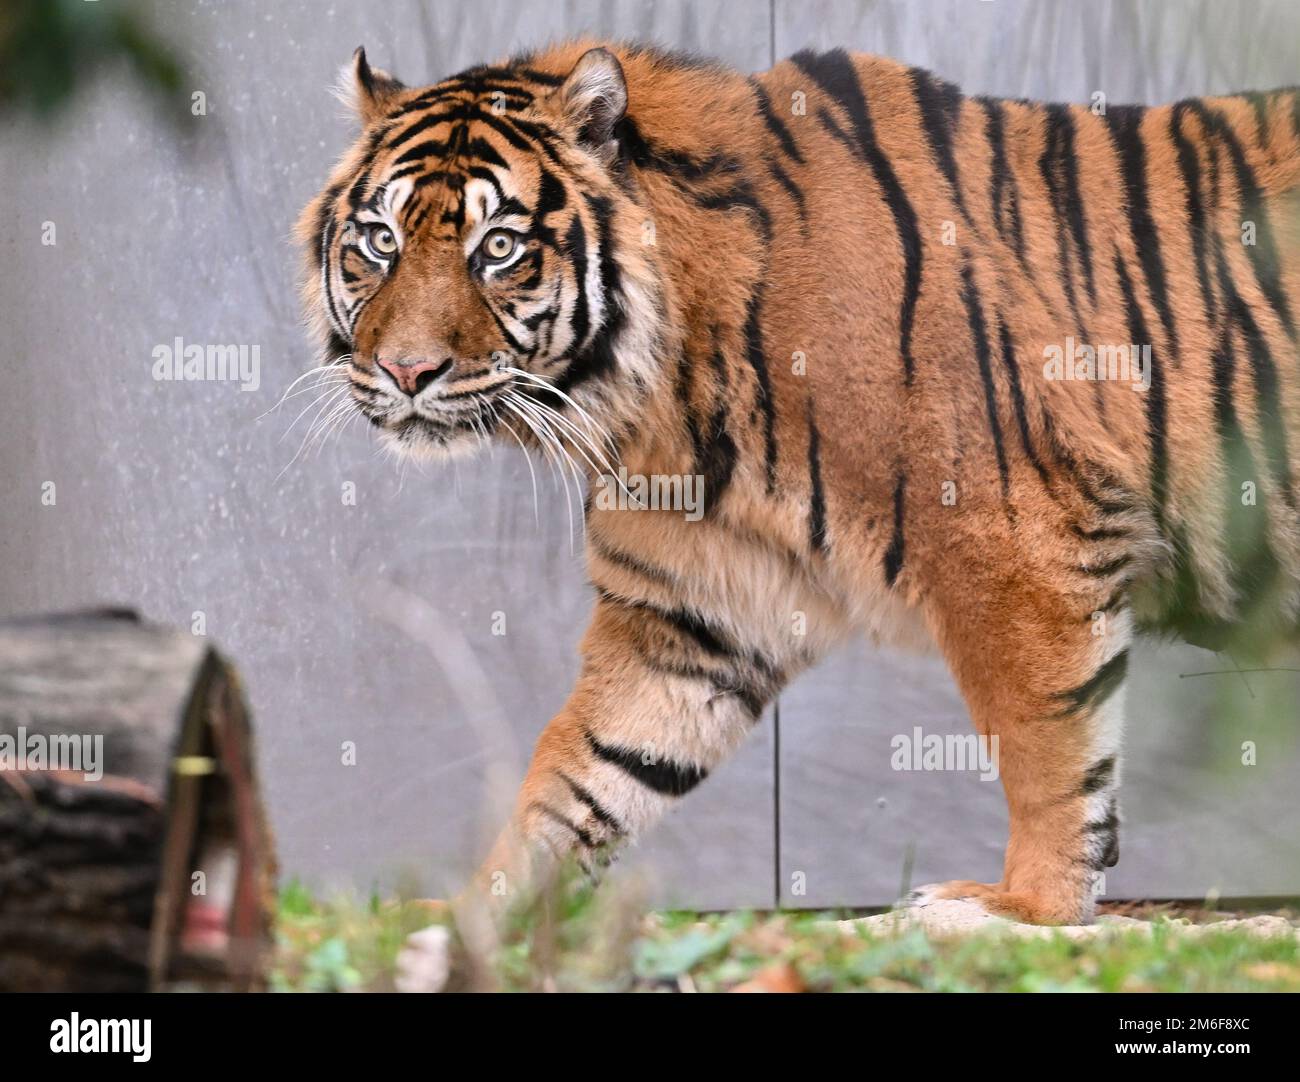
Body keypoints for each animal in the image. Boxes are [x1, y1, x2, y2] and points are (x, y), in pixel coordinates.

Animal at [298, 39, 1300, 927]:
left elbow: (1046, 745)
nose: (406, 371)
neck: (663, 394)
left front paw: (1027, 908)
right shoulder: (687, 615)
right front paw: (477, 914)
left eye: (500, 247)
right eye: (378, 242)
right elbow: (579, 771)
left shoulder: (1018, 541)